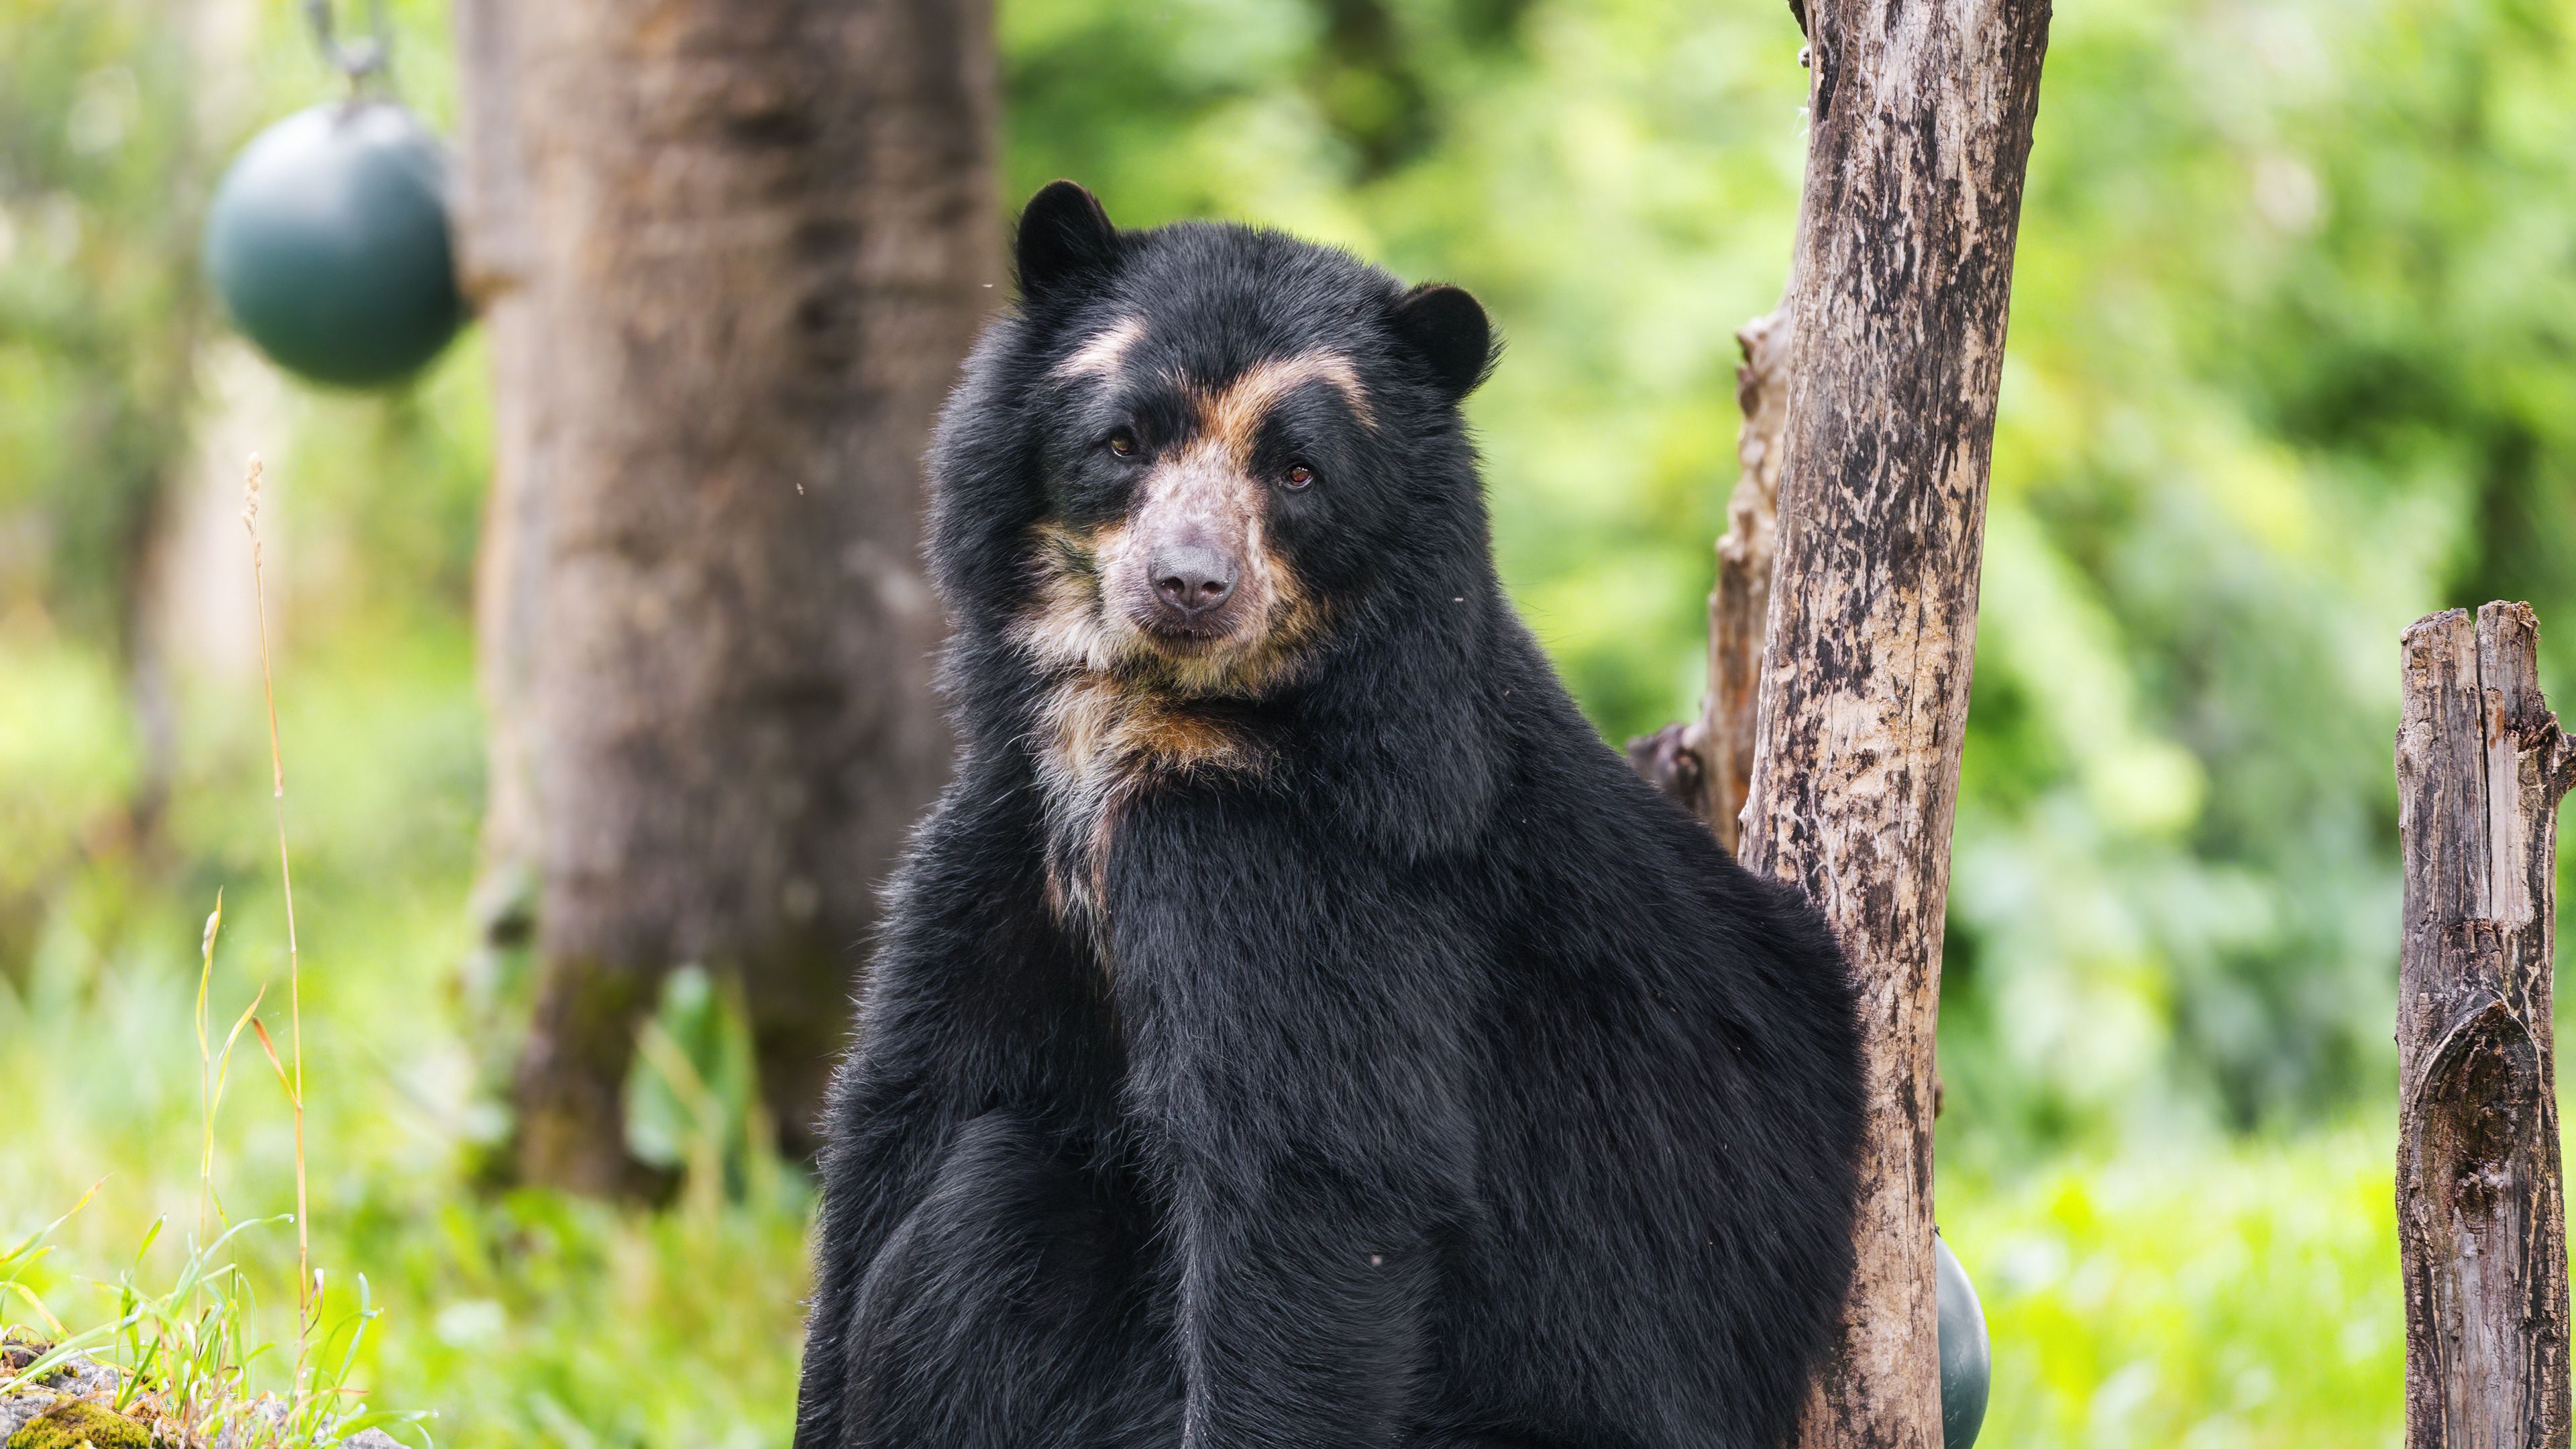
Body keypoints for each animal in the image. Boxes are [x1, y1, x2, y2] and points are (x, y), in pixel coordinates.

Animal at [792, 180, 1864, 1449]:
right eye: (1123, 440)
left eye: (1299, 473)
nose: (1189, 585)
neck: (1155, 723)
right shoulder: (1007, 830)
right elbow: (907, 1104)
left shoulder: (1302, 871)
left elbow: (1315, 1186)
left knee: (998, 1214)